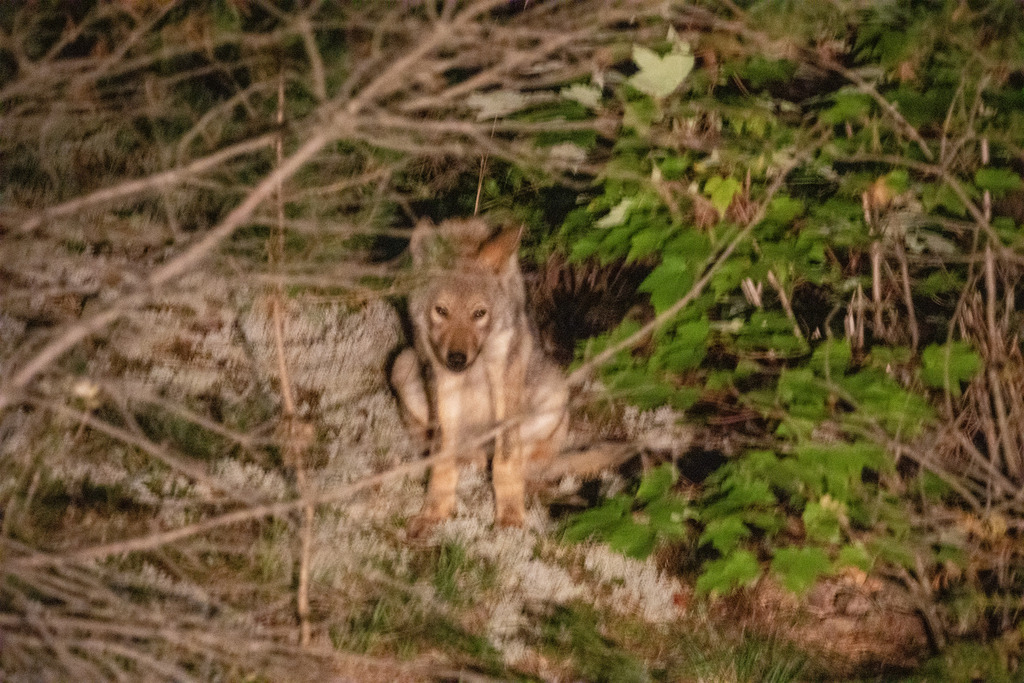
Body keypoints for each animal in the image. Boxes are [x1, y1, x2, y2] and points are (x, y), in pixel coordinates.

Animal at [390, 217, 569, 536]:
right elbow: (442, 459)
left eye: (479, 313)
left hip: (556, 392)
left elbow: (507, 460)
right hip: (402, 365)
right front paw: (434, 513)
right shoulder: (441, 380)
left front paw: (510, 518)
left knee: (530, 460)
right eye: (441, 310)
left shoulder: (504, 375)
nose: (457, 359)